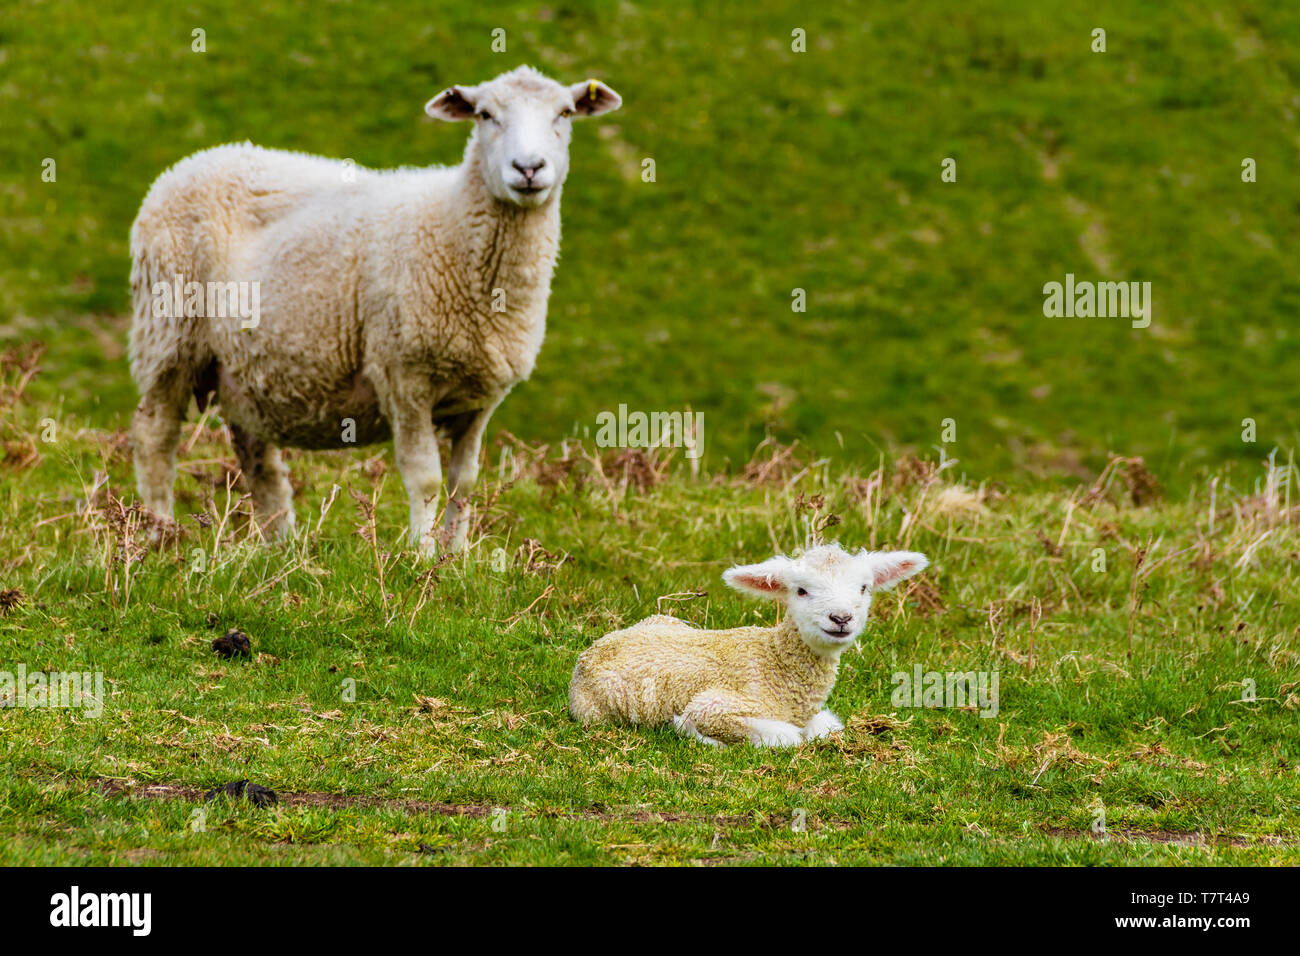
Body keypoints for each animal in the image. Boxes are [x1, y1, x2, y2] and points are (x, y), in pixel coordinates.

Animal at [128, 65, 624, 554]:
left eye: (565, 113)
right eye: (485, 114)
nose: (529, 168)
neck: (454, 227)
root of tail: (191, 162)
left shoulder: (480, 396)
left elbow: (465, 481)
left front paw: (456, 556)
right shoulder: (404, 377)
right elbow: (425, 478)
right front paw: (421, 555)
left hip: (240, 369)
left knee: (258, 458)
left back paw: (279, 545)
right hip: (168, 332)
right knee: (154, 437)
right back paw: (161, 537)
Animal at [566, 546, 925, 749]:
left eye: (864, 588)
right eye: (801, 590)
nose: (841, 618)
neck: (775, 664)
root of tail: (593, 649)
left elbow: (826, 727)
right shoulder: (714, 706)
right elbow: (786, 737)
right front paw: (691, 732)